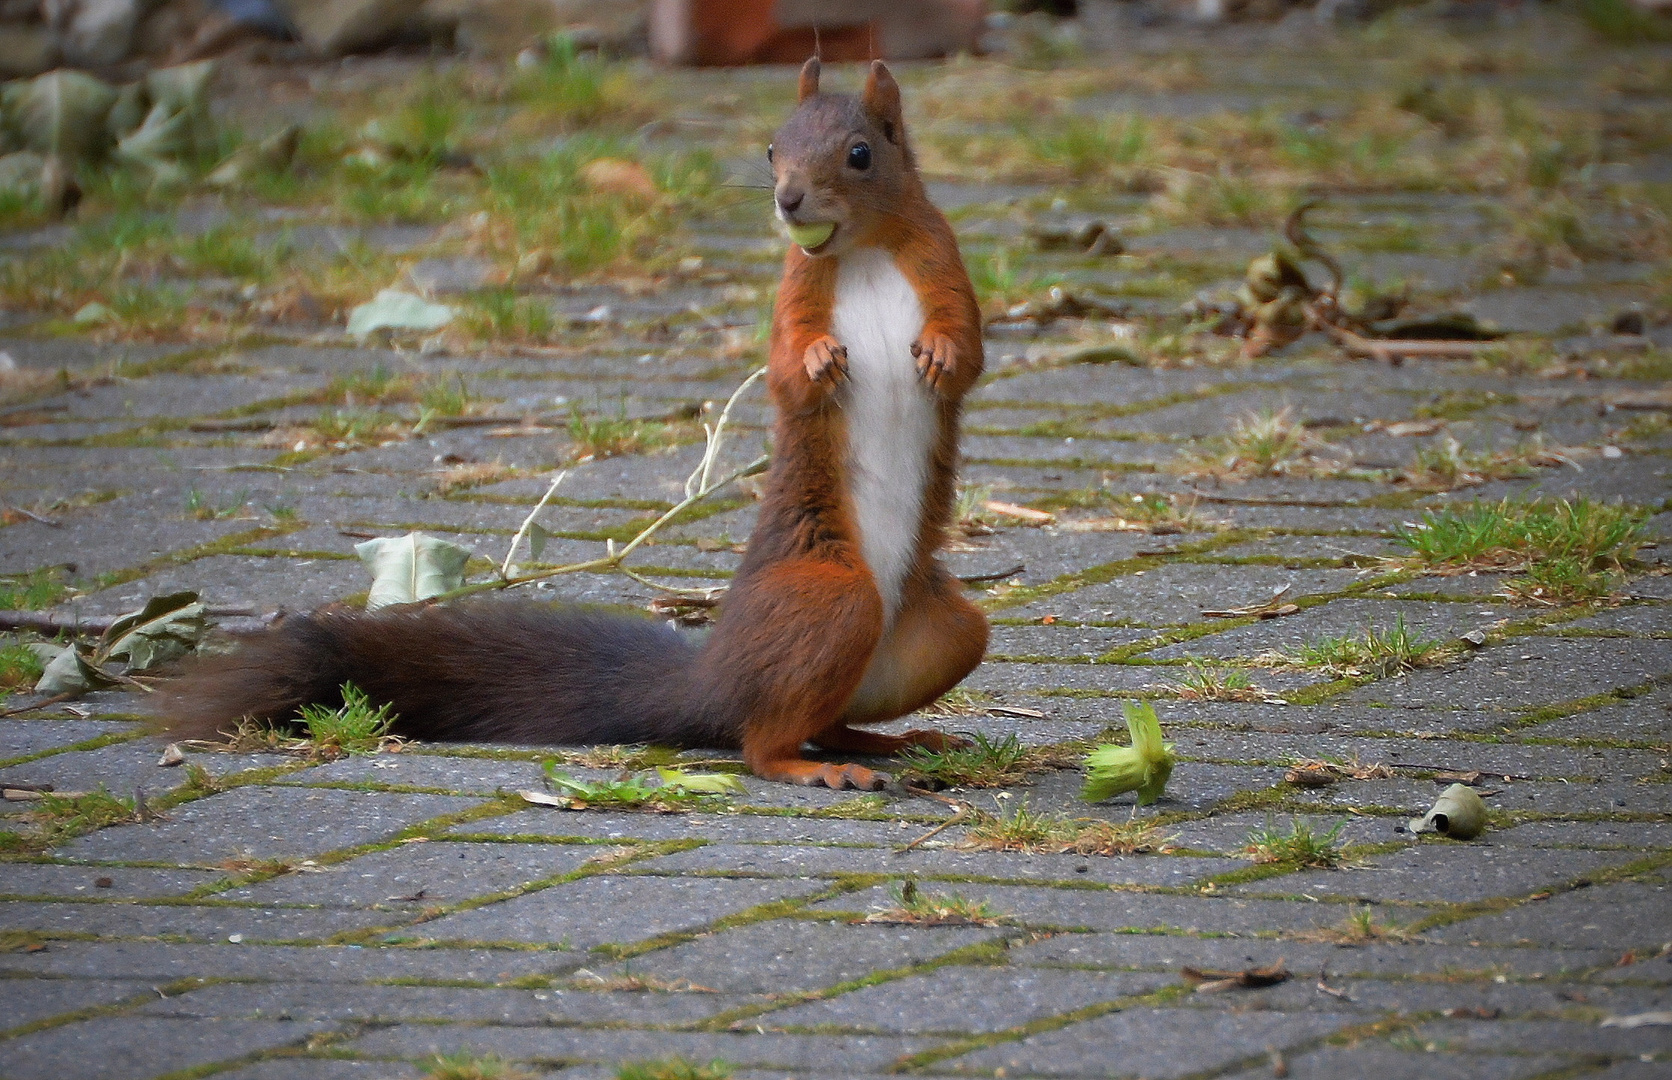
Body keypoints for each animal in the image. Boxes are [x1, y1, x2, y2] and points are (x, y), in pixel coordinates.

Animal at [159, 58, 988, 790]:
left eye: (860, 153)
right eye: (771, 147)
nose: (788, 201)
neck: (864, 251)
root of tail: (714, 679)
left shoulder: (943, 264)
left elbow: (969, 352)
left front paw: (941, 351)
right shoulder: (794, 291)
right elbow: (788, 373)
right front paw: (817, 360)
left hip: (947, 634)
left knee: (831, 718)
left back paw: (898, 740)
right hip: (830, 602)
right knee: (764, 739)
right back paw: (815, 766)